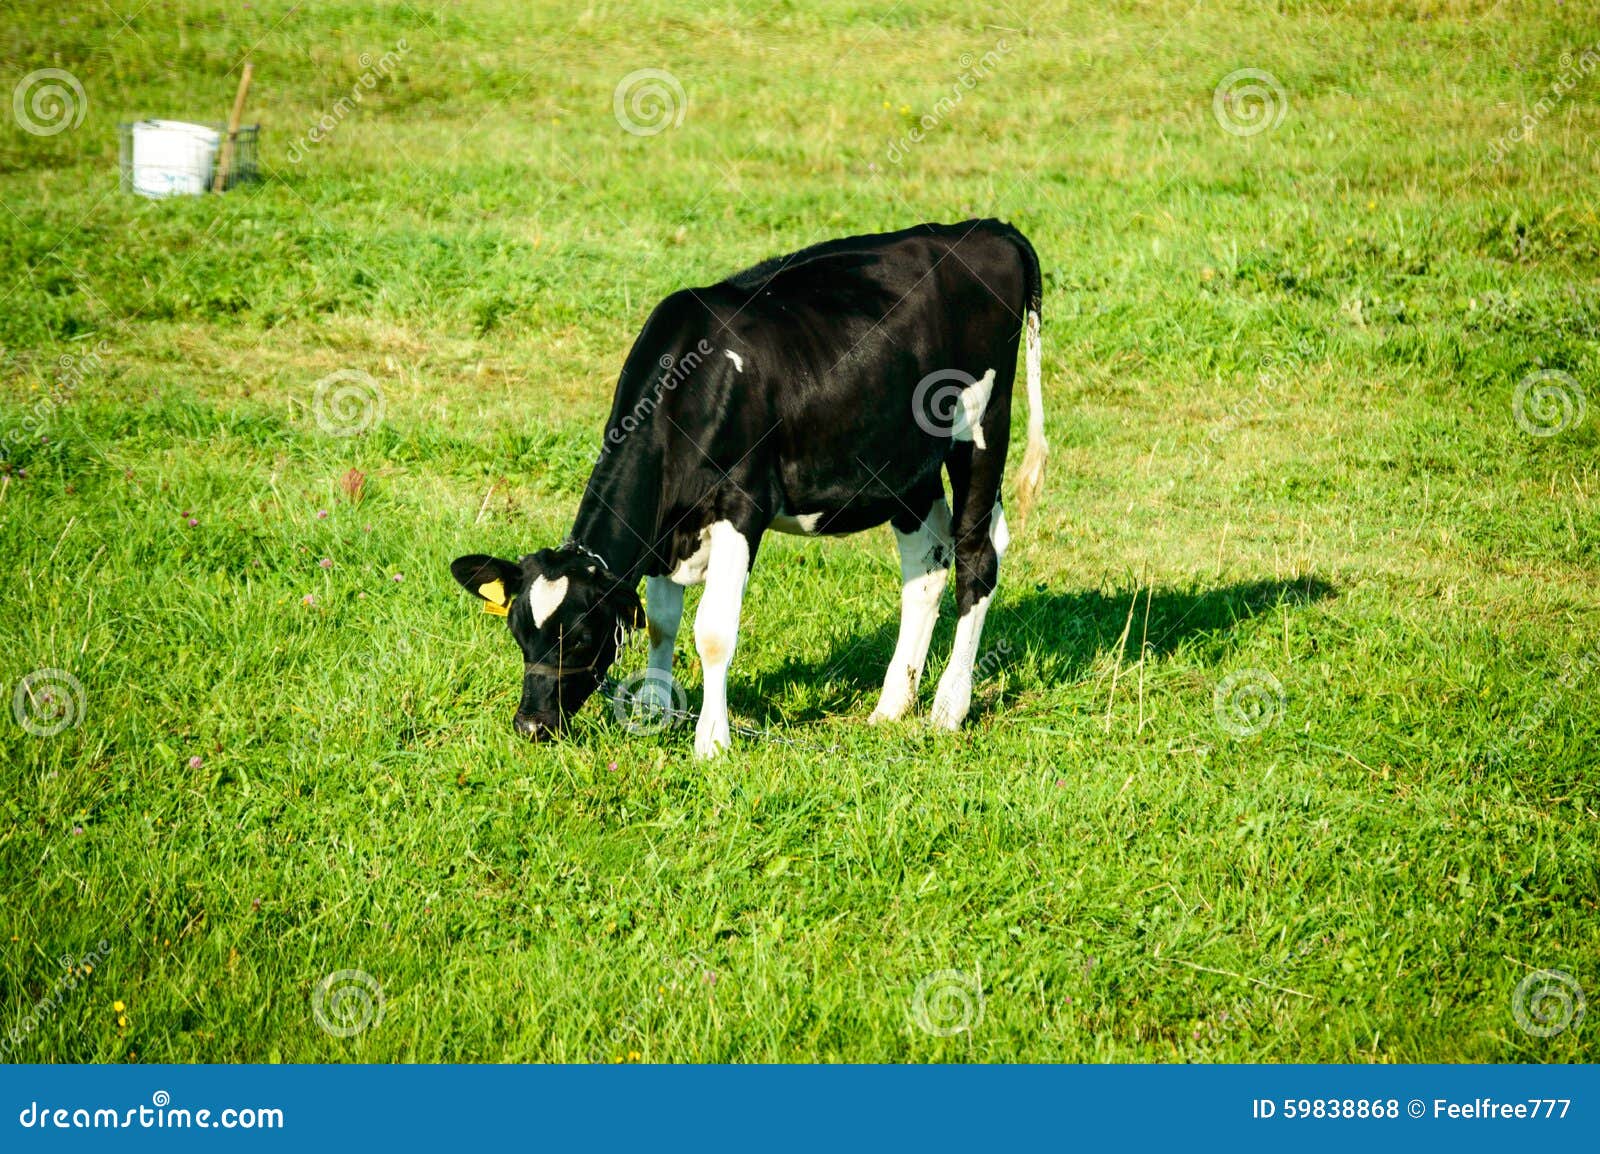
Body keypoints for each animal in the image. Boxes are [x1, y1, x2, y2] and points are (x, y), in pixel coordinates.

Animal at [451, 218, 1046, 758]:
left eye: (578, 636)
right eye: (518, 632)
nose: (531, 725)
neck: (688, 388)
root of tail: (989, 228)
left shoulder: (740, 506)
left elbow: (713, 632)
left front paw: (711, 741)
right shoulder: (667, 528)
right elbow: (662, 623)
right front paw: (655, 711)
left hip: (981, 426)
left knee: (977, 557)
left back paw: (948, 709)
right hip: (905, 463)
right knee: (927, 564)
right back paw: (891, 706)